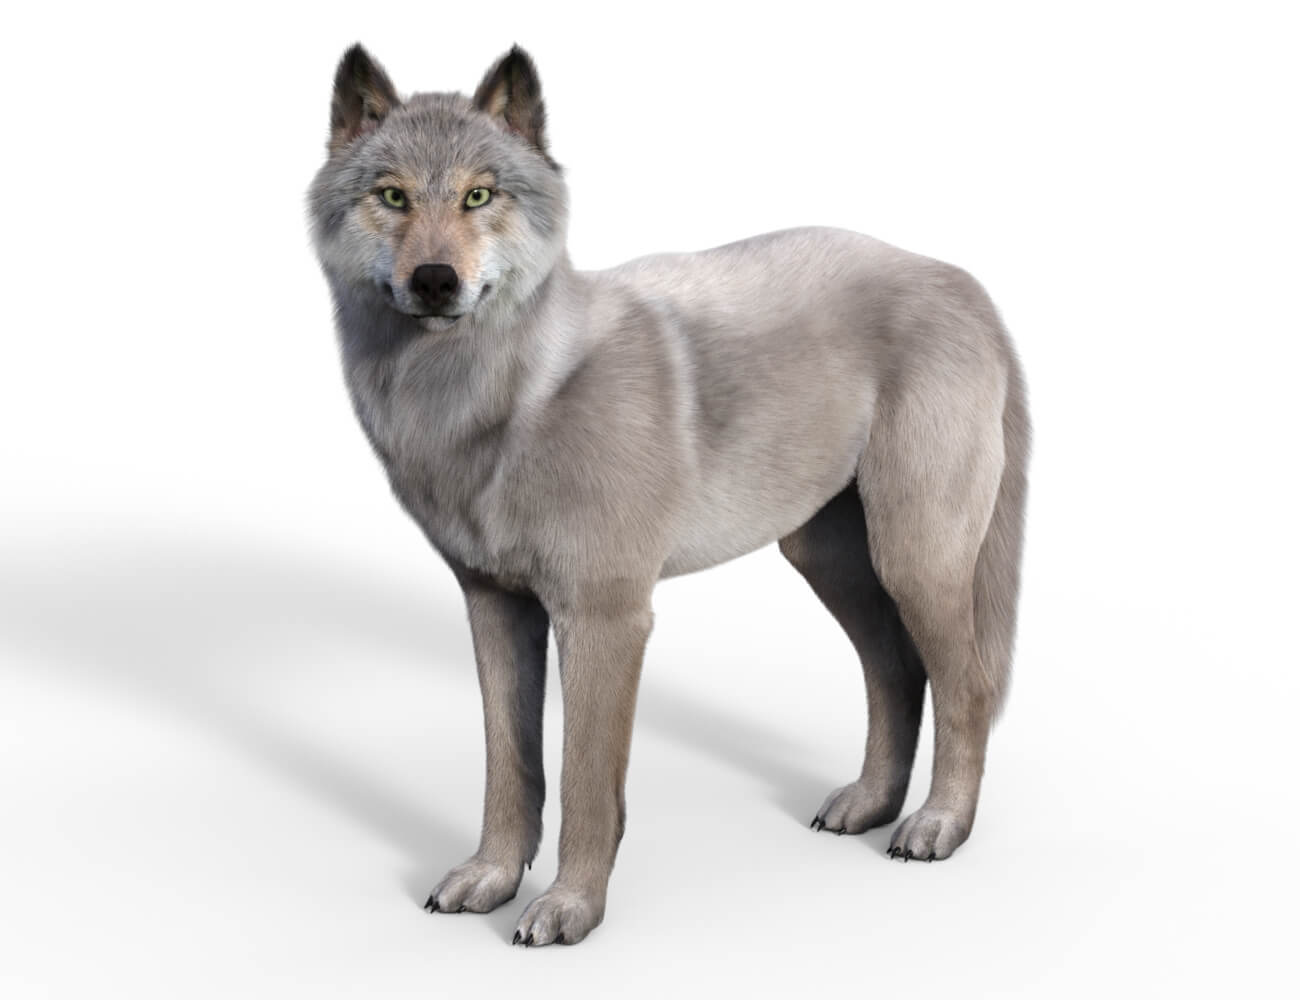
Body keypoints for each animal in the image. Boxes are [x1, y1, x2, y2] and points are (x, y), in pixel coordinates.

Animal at [308, 44, 1030, 947]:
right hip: (829, 559)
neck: (510, 398)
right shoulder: (495, 606)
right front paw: (491, 878)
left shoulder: (606, 617)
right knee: (896, 671)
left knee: (965, 687)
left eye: (479, 195)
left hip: (914, 561)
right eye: (393, 196)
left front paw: (569, 909)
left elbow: (584, 782)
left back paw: (938, 826)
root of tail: (962, 281)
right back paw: (868, 805)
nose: (436, 281)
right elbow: (510, 771)